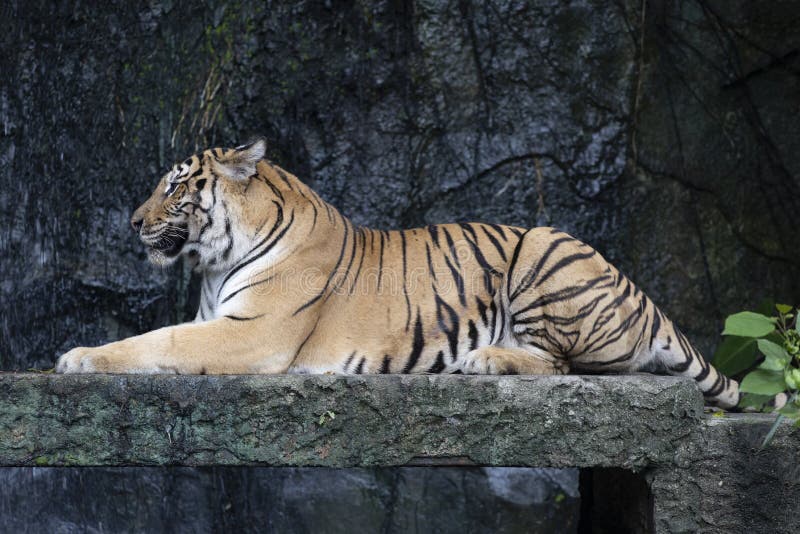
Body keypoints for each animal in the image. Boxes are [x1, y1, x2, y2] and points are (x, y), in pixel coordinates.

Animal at [56, 139, 756, 409]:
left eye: (175, 187)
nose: (131, 222)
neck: (216, 260)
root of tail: (644, 296)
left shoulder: (251, 332)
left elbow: (156, 342)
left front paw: (77, 357)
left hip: (543, 245)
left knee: (570, 366)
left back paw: (486, 360)